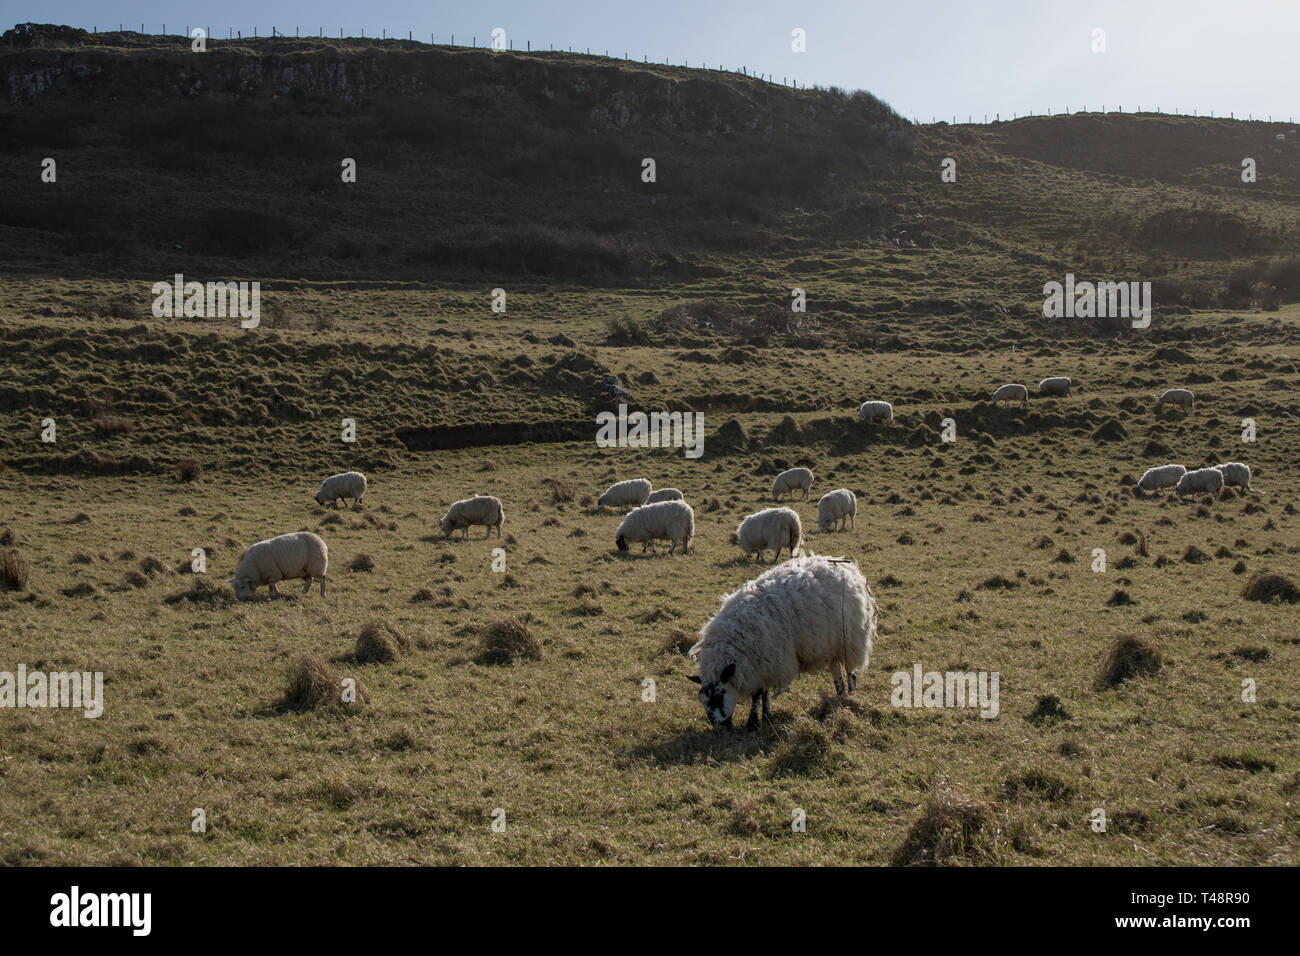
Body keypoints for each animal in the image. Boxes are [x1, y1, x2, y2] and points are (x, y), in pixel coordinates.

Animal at [688, 556, 878, 730]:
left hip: (850, 639)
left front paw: (753, 721)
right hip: (830, 643)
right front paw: (766, 716)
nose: (720, 729)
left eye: (718, 696)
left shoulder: (767, 660)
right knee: (836, 669)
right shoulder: (763, 664)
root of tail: (847, 566)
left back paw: (850, 696)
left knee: (851, 671)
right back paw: (840, 695)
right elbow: (764, 692)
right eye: (702, 701)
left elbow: (757, 694)